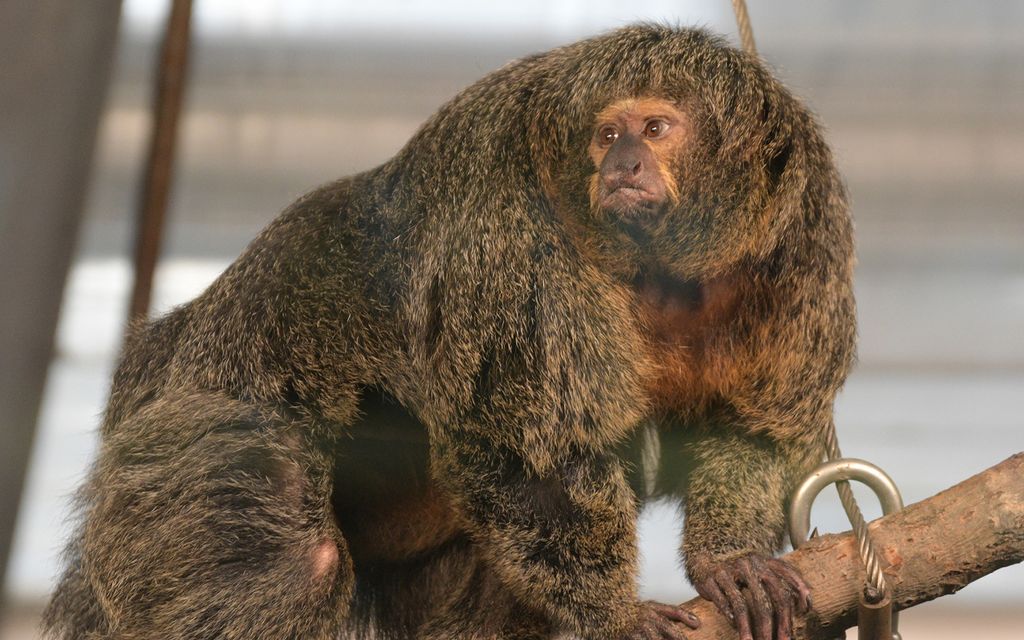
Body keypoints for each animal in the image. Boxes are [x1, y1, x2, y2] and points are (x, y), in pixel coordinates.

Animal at [44, 24, 854, 640]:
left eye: (656, 128)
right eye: (607, 134)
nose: (623, 163)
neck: (662, 271)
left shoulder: (803, 244)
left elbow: (751, 427)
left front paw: (728, 563)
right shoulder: (508, 234)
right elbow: (530, 456)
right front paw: (615, 614)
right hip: (181, 444)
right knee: (293, 554)